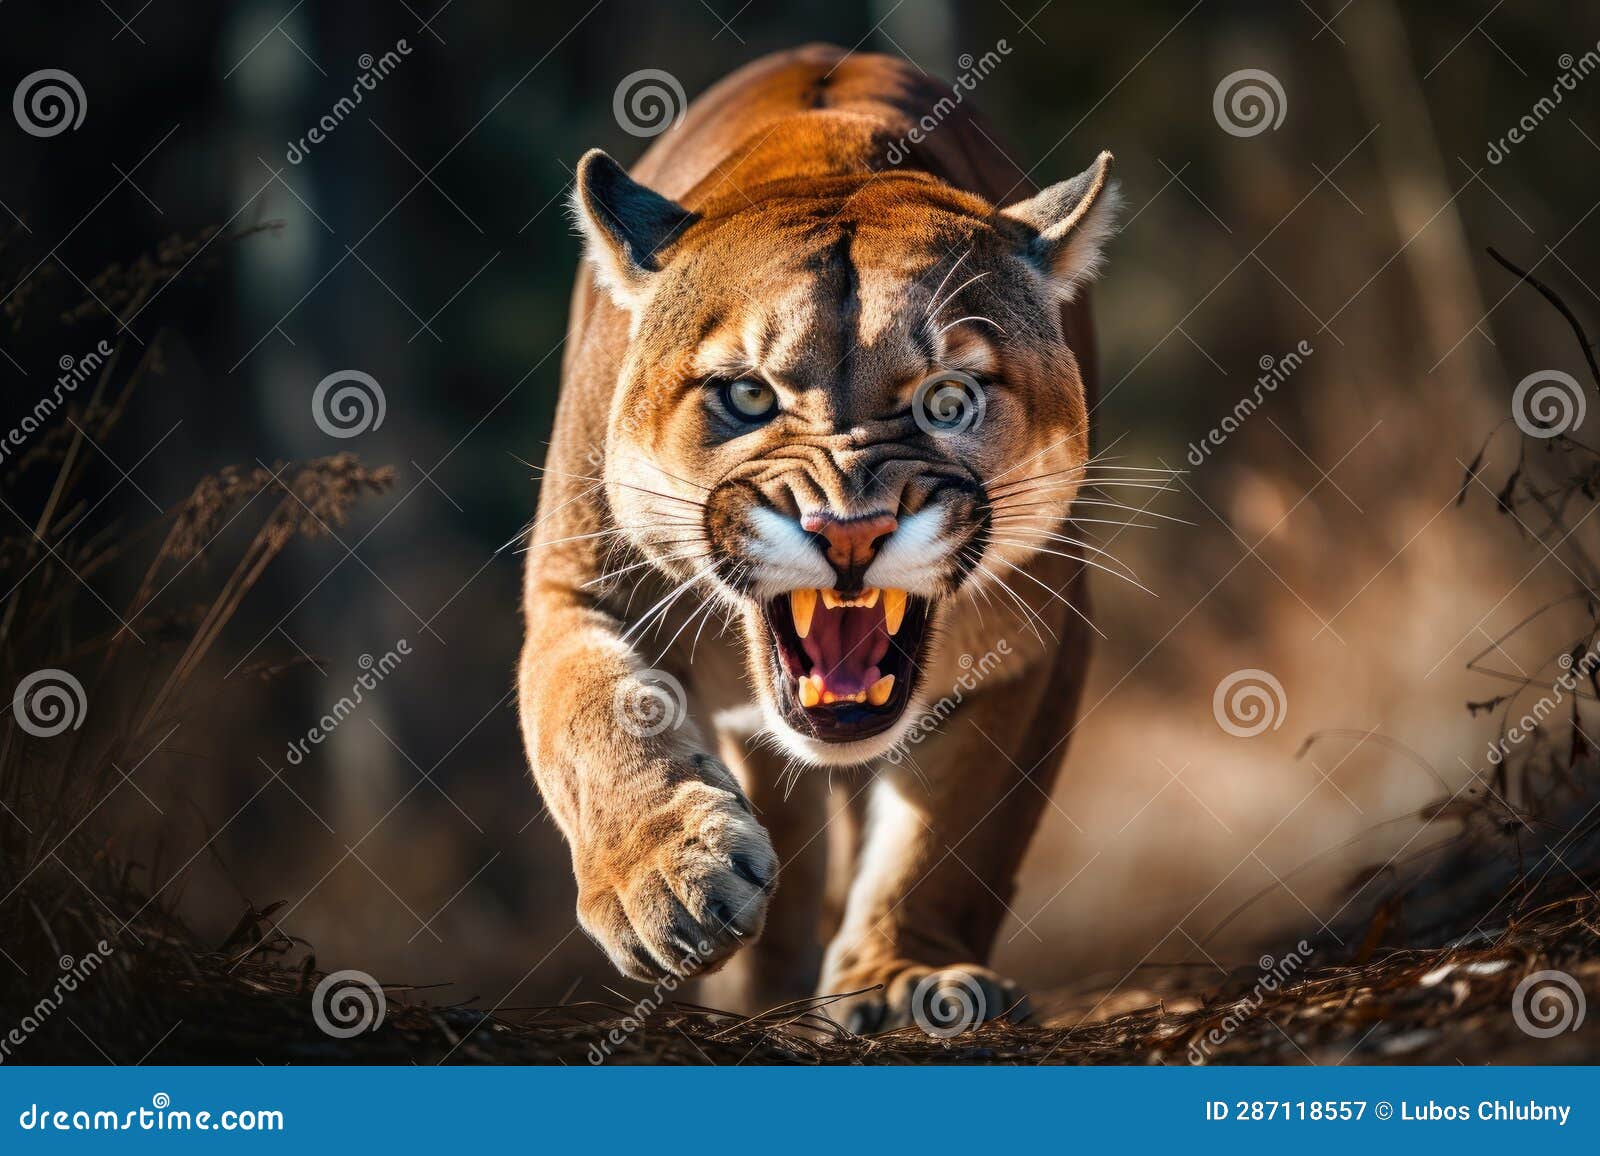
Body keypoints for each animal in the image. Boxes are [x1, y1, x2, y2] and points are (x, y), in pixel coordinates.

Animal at [518, 43, 1119, 1032]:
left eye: (949, 398)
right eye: (747, 394)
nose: (849, 530)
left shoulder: (1035, 643)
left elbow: (954, 835)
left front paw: (908, 975)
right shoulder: (580, 585)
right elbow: (590, 716)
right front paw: (667, 884)